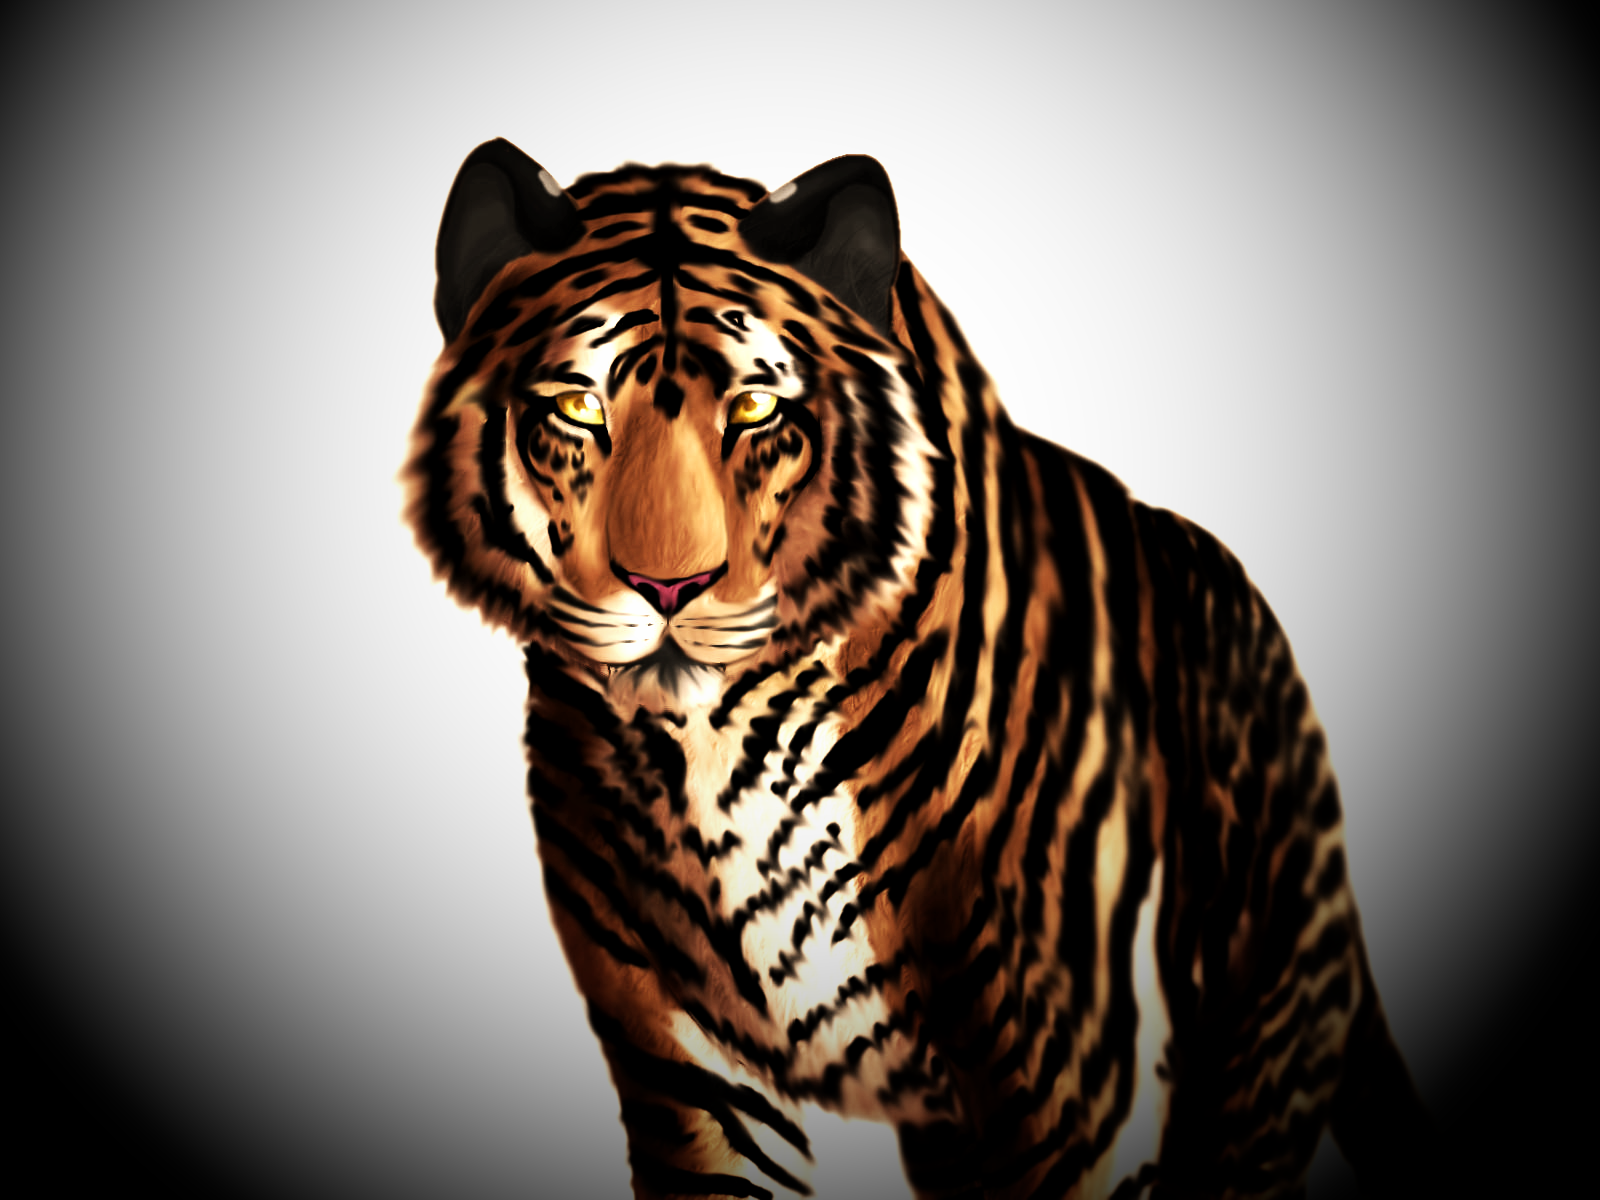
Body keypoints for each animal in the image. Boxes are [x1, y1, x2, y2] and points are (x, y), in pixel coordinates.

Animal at [404, 138, 1432, 1199]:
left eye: (756, 407)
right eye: (576, 406)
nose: (669, 586)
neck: (720, 745)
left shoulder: (1058, 1092)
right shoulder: (689, 1073)